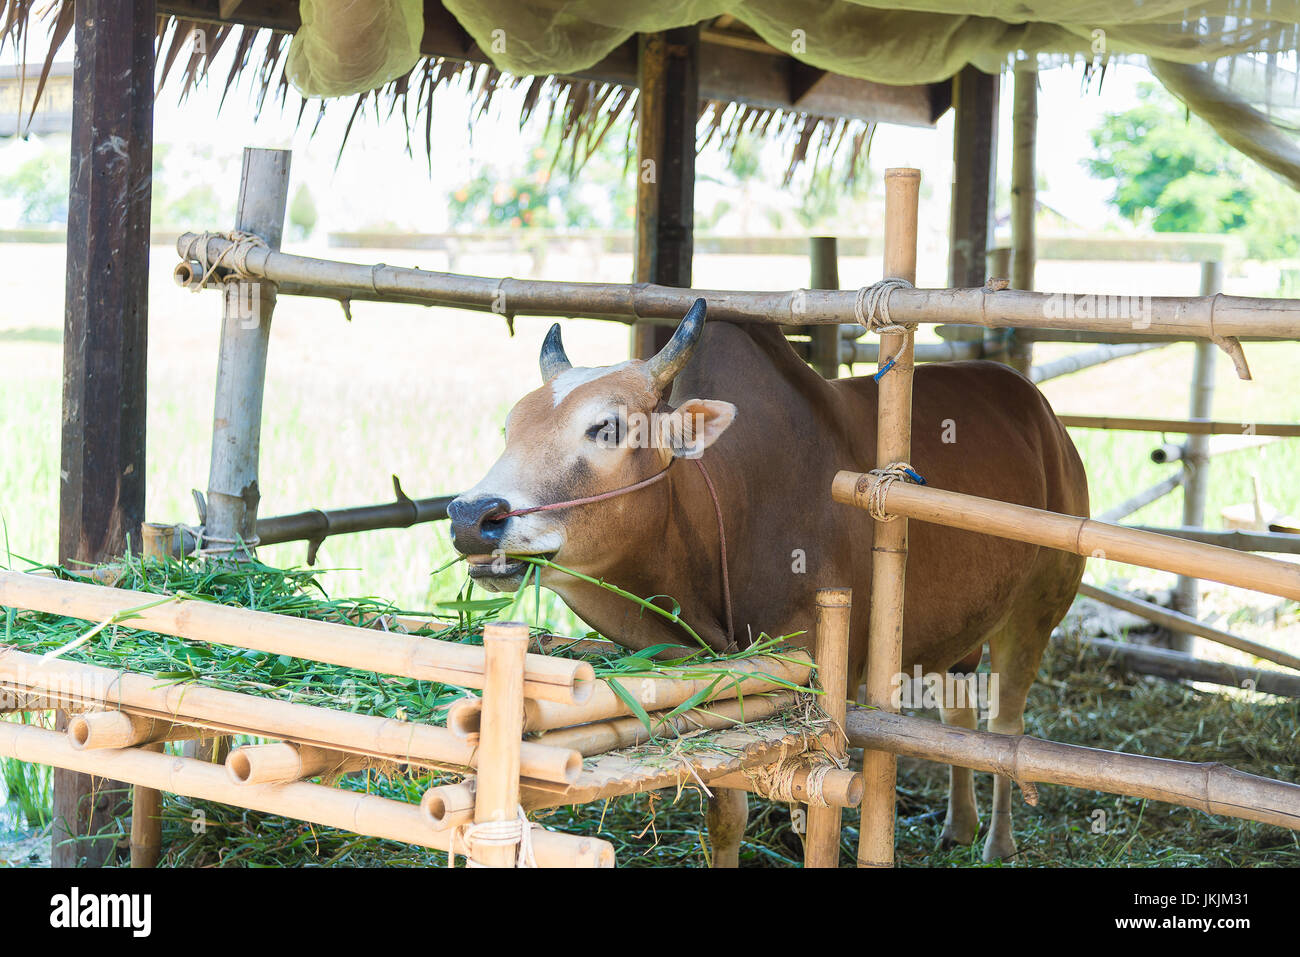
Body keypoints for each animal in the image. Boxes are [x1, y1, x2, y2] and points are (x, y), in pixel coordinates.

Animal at [448, 300, 1090, 865]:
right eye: (510, 427)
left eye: (606, 428)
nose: (471, 516)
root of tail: (1041, 411)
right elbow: (726, 814)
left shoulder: (822, 688)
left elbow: (813, 812)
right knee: (959, 717)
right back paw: (959, 826)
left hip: (1036, 612)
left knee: (1006, 726)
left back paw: (998, 841)